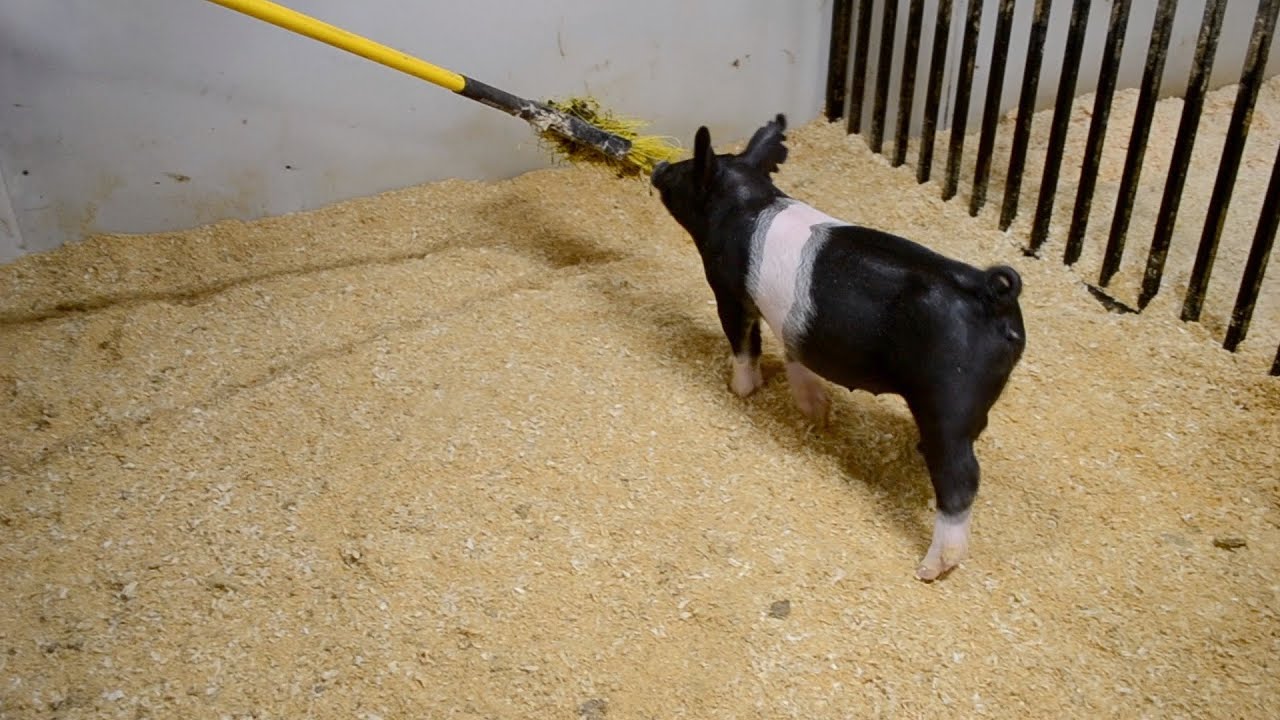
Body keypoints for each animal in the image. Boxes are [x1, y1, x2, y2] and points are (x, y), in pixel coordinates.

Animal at [650, 114, 1025, 581]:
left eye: (683, 173)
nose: (658, 168)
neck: (745, 205)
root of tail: (994, 295)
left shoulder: (729, 291)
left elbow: (743, 342)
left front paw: (740, 390)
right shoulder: (795, 327)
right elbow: (795, 355)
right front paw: (818, 412)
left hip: (948, 397)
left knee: (963, 478)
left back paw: (928, 568)